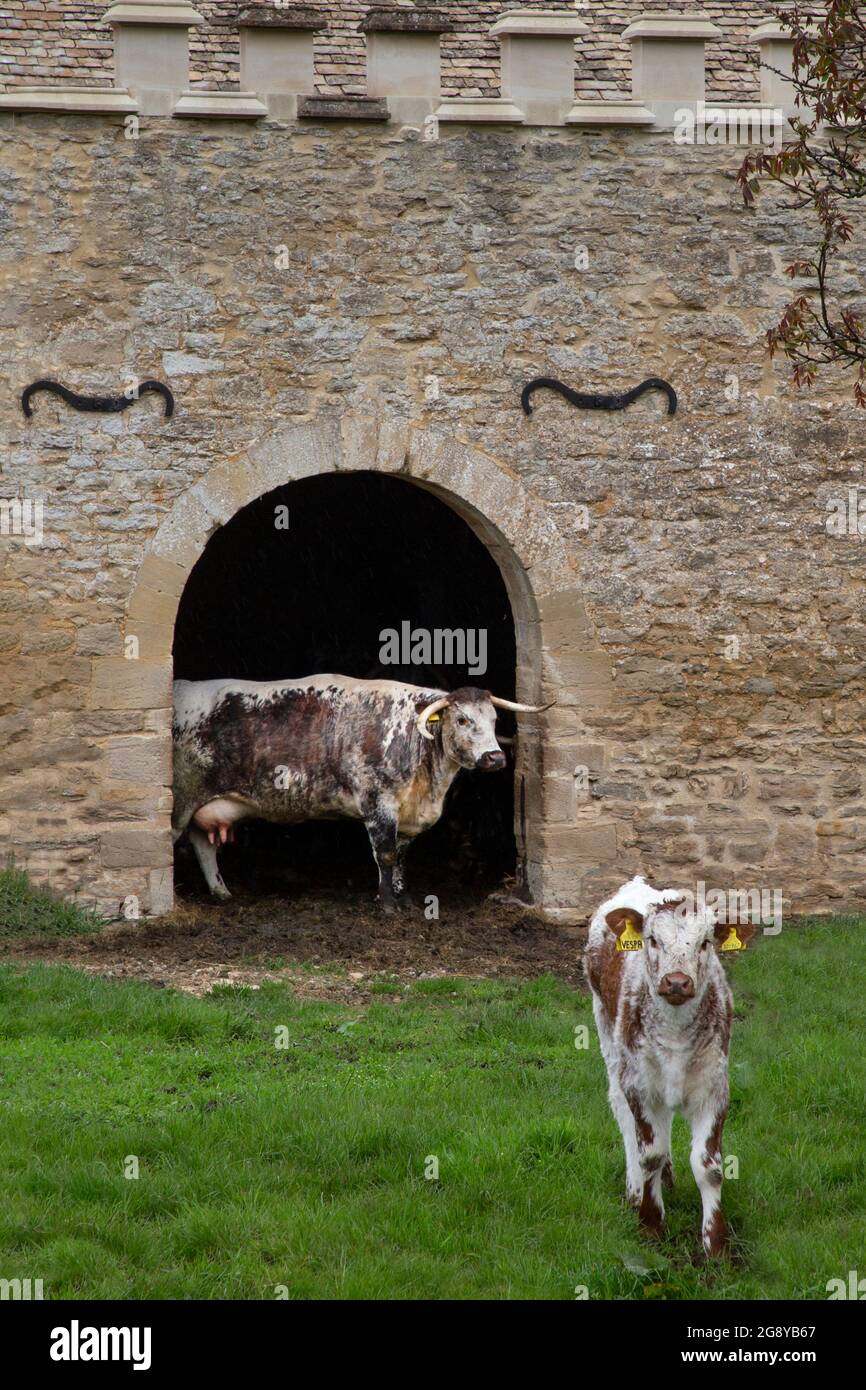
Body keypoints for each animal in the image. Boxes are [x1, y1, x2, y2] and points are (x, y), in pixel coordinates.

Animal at [172, 675, 549, 910]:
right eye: (462, 720)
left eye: (494, 720)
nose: (495, 757)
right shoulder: (379, 806)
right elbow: (385, 854)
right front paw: (388, 904)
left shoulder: (407, 816)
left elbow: (401, 856)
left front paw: (403, 898)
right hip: (180, 802)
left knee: (203, 844)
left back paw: (221, 892)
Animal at [584, 875, 755, 1257]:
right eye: (652, 940)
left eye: (705, 942)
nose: (676, 981)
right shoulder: (639, 1083)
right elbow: (650, 1153)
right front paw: (650, 1223)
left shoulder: (714, 1087)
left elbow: (709, 1166)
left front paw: (715, 1244)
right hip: (608, 1037)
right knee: (622, 1113)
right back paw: (636, 1190)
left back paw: (668, 1180)